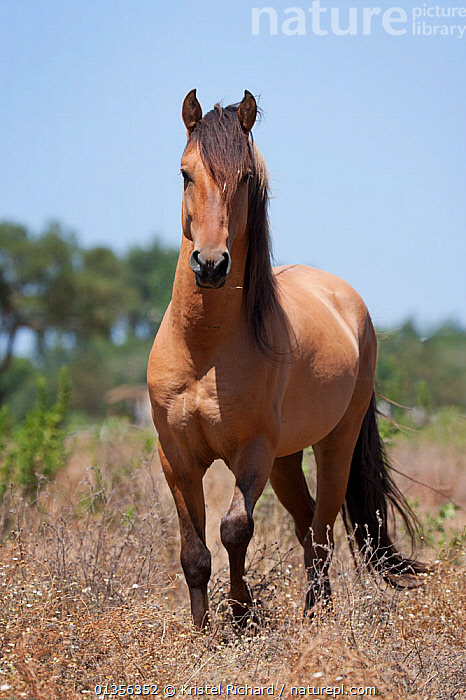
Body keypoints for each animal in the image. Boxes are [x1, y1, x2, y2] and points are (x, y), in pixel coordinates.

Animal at [147, 89, 427, 629]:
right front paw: (200, 631)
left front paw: (241, 617)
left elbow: (235, 529)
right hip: (285, 459)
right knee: (307, 525)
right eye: (185, 173)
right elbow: (194, 553)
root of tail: (347, 301)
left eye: (245, 177)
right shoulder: (177, 457)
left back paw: (316, 617)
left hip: (332, 445)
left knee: (321, 531)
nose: (210, 265)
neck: (203, 350)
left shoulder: (252, 451)